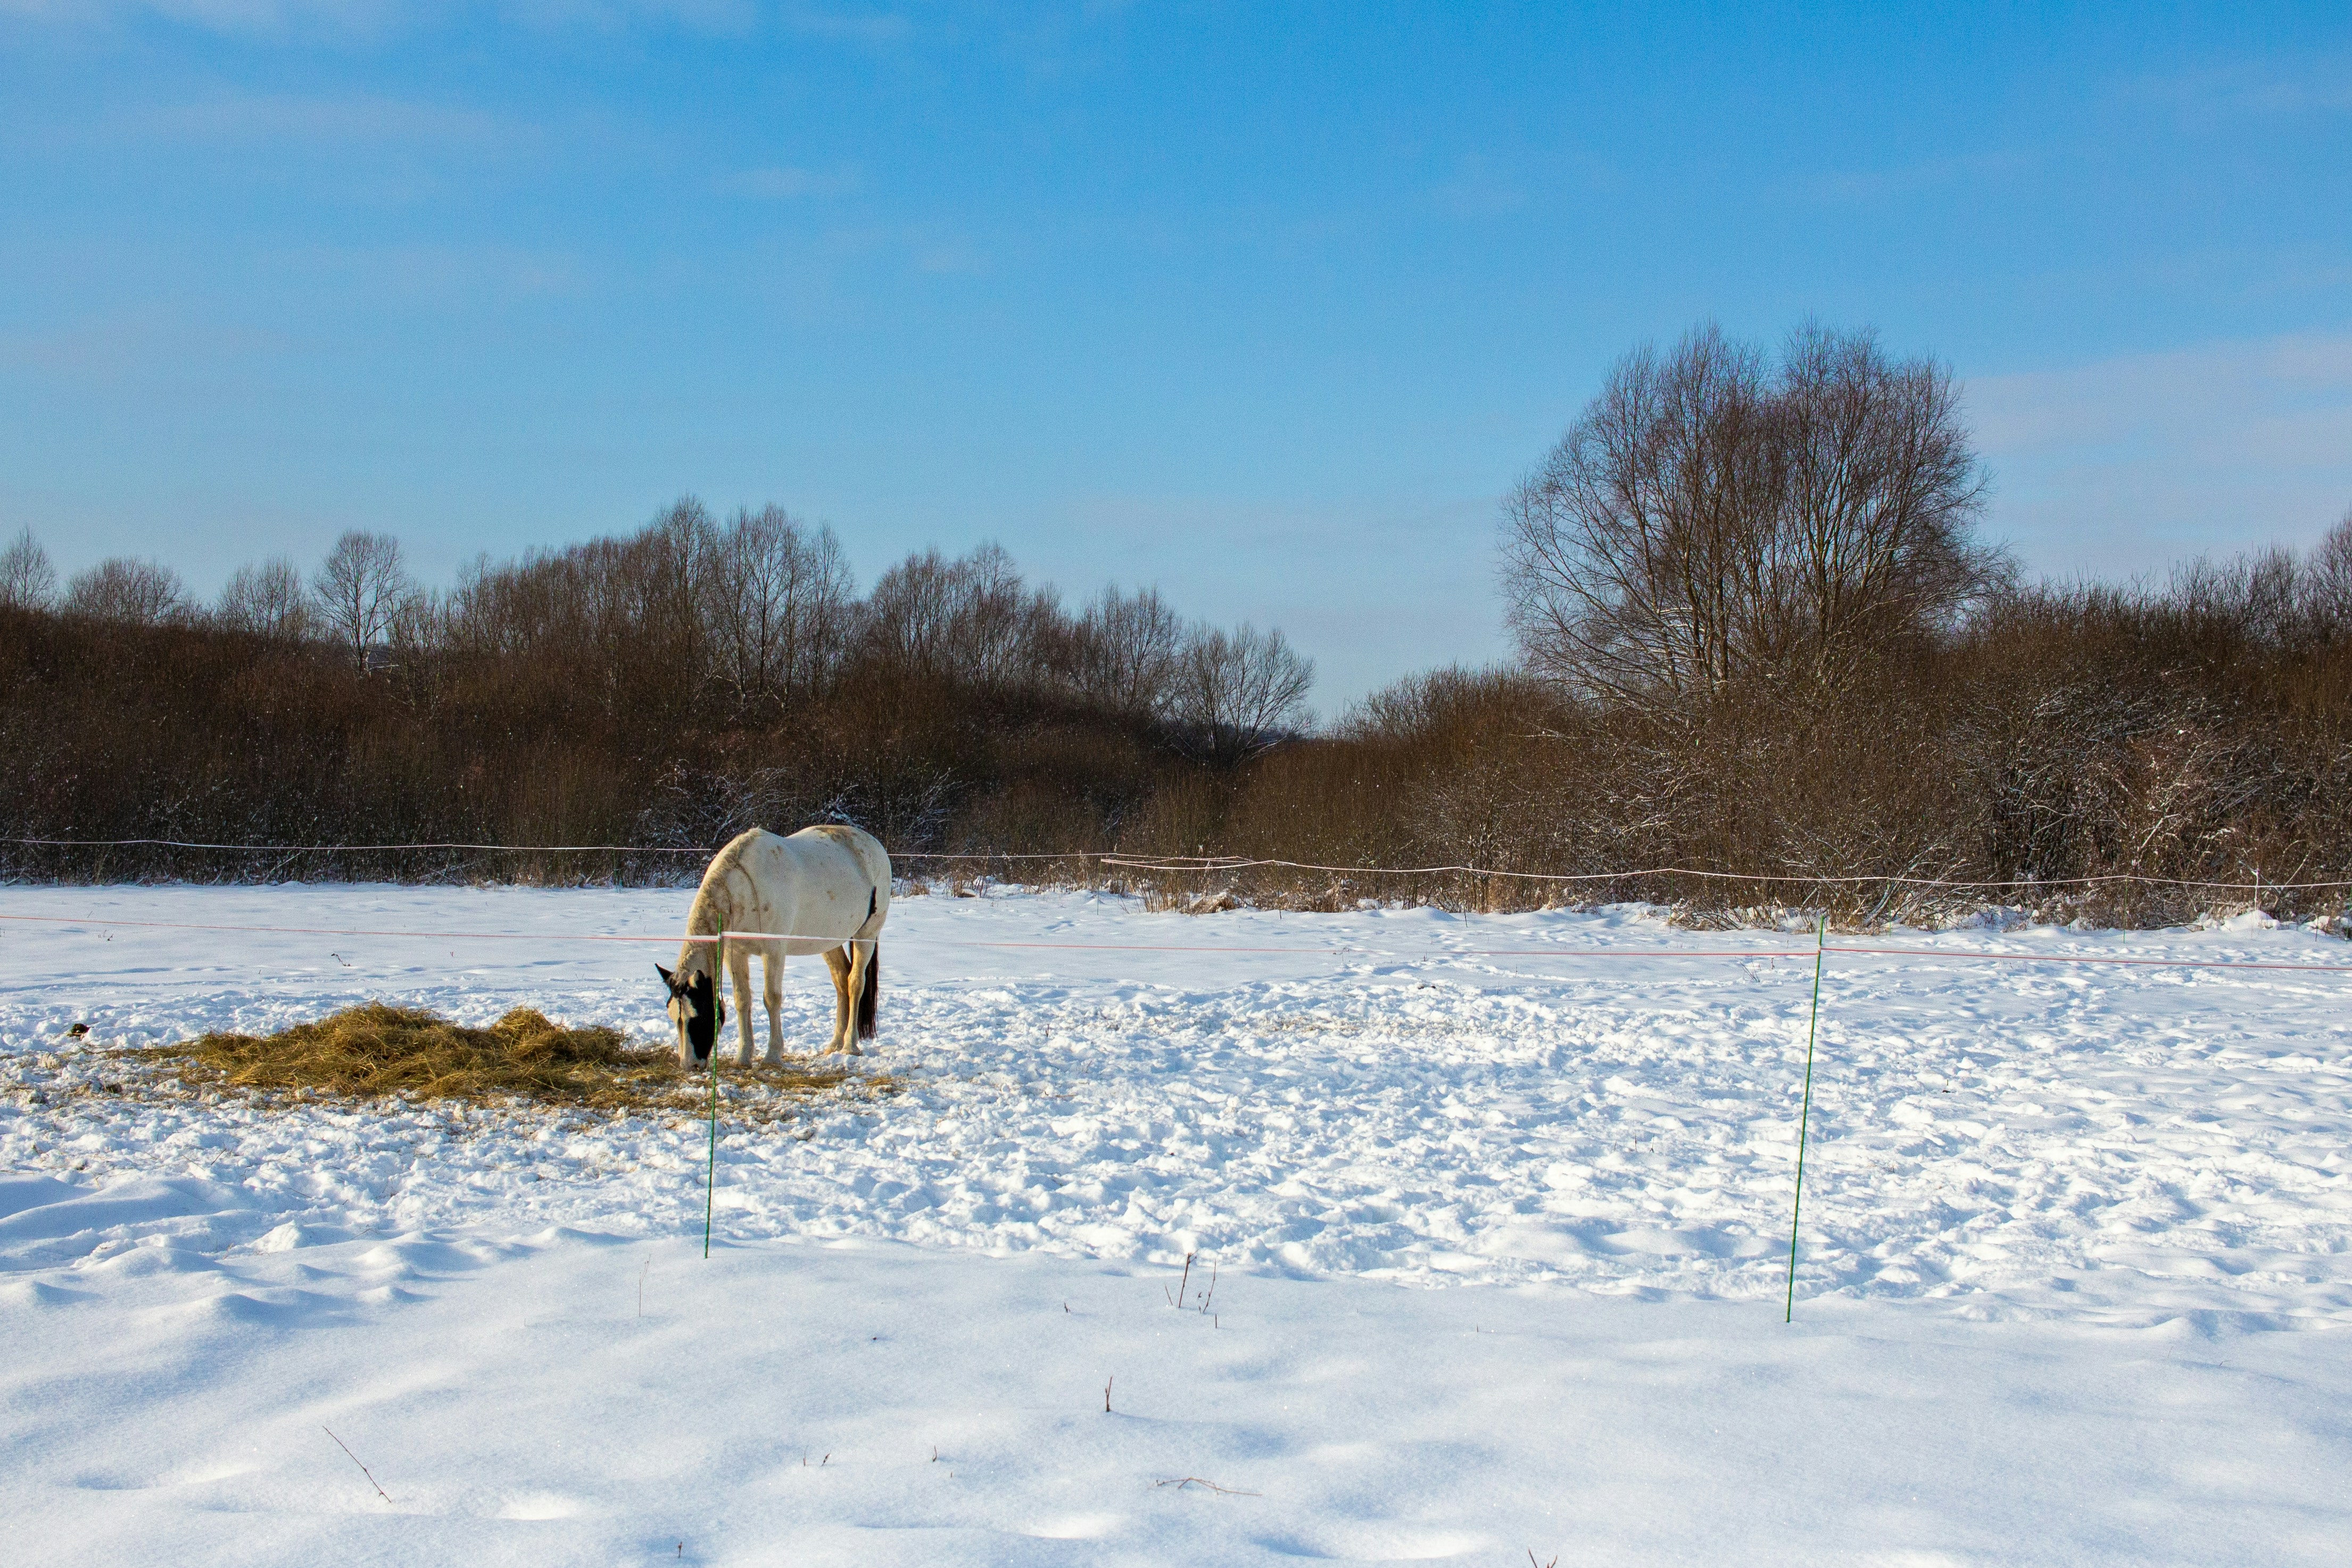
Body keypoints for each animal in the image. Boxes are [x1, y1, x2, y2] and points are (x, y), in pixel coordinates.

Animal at [655, 825, 891, 1068]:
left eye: (698, 1017)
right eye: (674, 1017)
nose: (689, 1065)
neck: (744, 887)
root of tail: (873, 843)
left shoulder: (774, 952)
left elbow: (772, 998)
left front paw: (773, 1055)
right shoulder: (735, 954)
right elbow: (742, 999)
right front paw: (743, 1056)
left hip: (866, 936)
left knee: (855, 983)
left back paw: (850, 1046)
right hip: (828, 940)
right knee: (841, 980)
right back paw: (835, 1043)